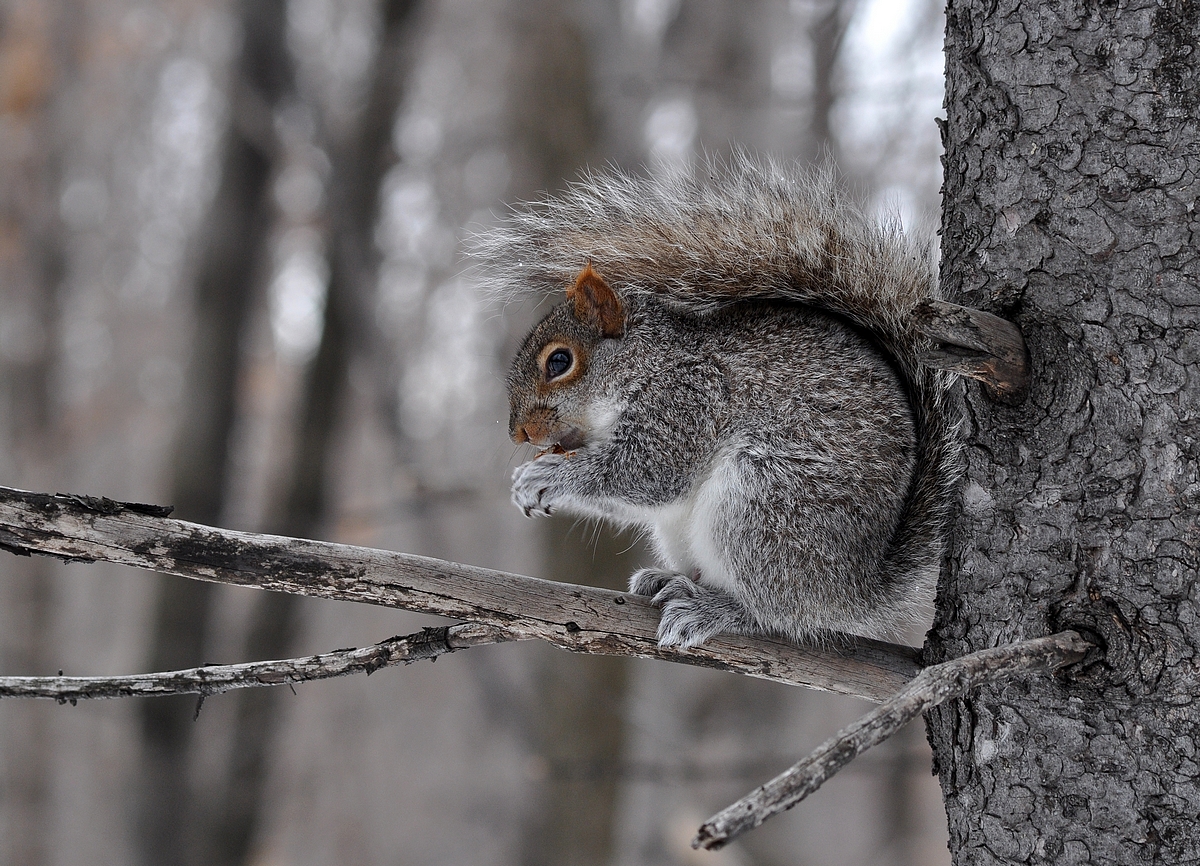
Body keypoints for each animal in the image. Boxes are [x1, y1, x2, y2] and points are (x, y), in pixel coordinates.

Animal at [474, 154, 962, 649]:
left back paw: (715, 609)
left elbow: (645, 474)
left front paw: (546, 476)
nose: (519, 432)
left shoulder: (690, 400)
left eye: (559, 361)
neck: (651, 364)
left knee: (778, 613)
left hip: (764, 505)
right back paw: (670, 580)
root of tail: (855, 592)